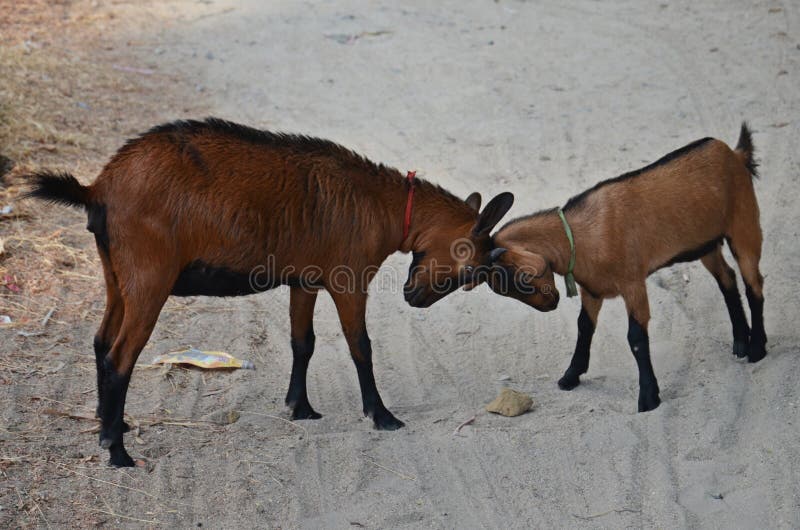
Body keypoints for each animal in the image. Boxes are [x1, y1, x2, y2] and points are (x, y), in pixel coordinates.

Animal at [25, 118, 515, 466]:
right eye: (470, 272)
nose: (414, 298)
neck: (384, 206)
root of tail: (99, 187)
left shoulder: (306, 280)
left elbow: (303, 343)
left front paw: (300, 408)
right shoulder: (349, 278)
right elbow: (360, 347)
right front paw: (382, 416)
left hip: (115, 273)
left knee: (100, 341)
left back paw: (112, 426)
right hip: (149, 277)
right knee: (119, 356)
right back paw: (117, 451)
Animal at [479, 124, 765, 412]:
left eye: (517, 279)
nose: (551, 305)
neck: (578, 235)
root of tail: (735, 154)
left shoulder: (633, 283)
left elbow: (636, 337)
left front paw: (649, 397)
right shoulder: (592, 289)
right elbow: (584, 326)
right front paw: (570, 376)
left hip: (744, 223)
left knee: (754, 284)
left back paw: (756, 349)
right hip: (706, 244)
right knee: (727, 278)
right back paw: (741, 341)